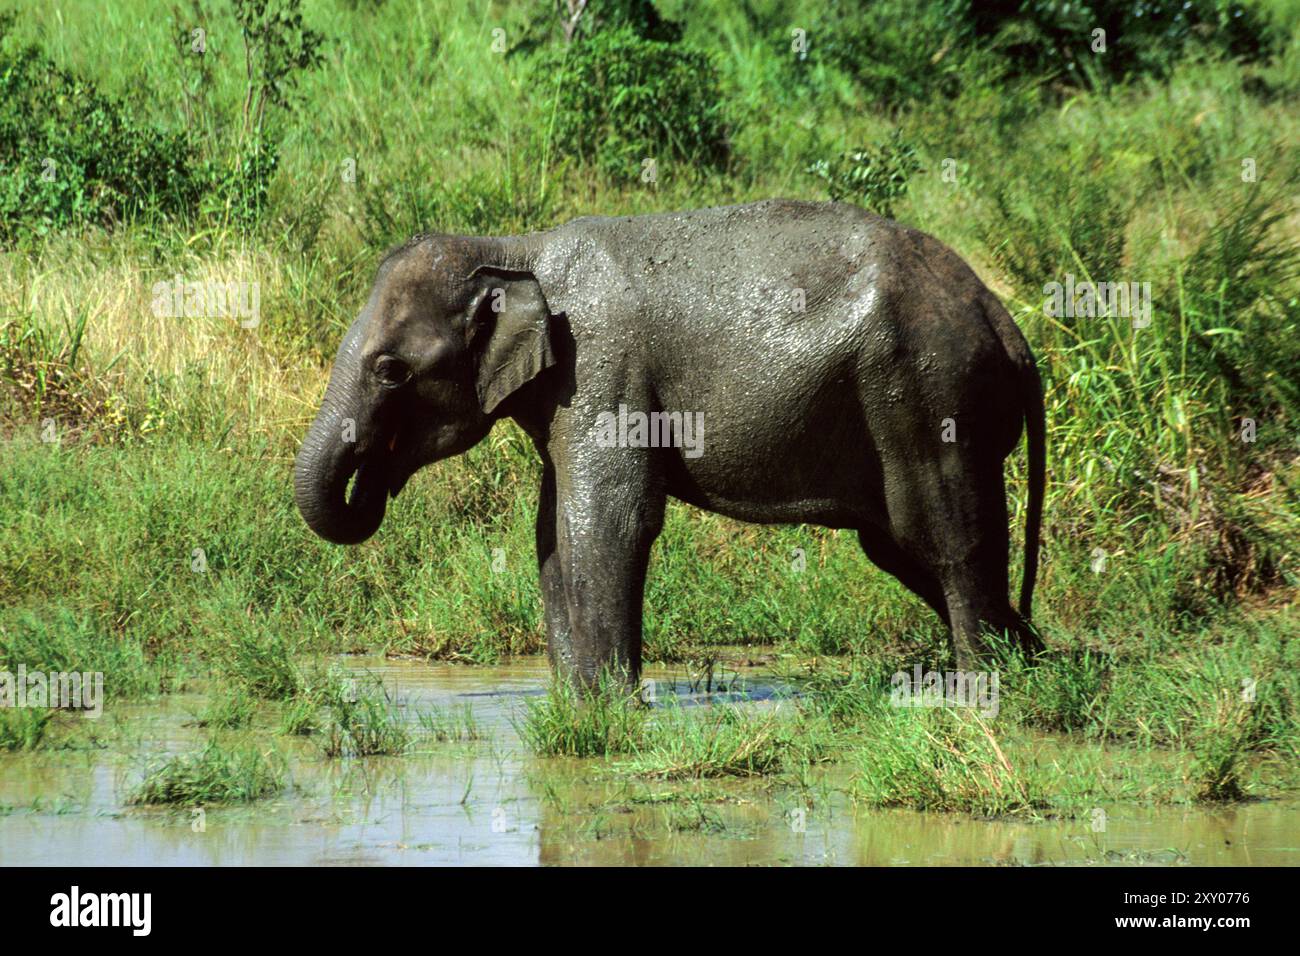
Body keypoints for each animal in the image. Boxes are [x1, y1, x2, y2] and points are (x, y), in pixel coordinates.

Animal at [294, 199, 1046, 684]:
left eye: (392, 370)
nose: (374, 475)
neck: (514, 247)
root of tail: (1007, 325)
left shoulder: (603, 365)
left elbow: (607, 521)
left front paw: (609, 712)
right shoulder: (568, 395)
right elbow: (552, 533)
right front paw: (571, 707)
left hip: (930, 395)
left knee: (945, 539)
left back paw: (986, 694)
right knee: (898, 547)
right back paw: (1033, 664)